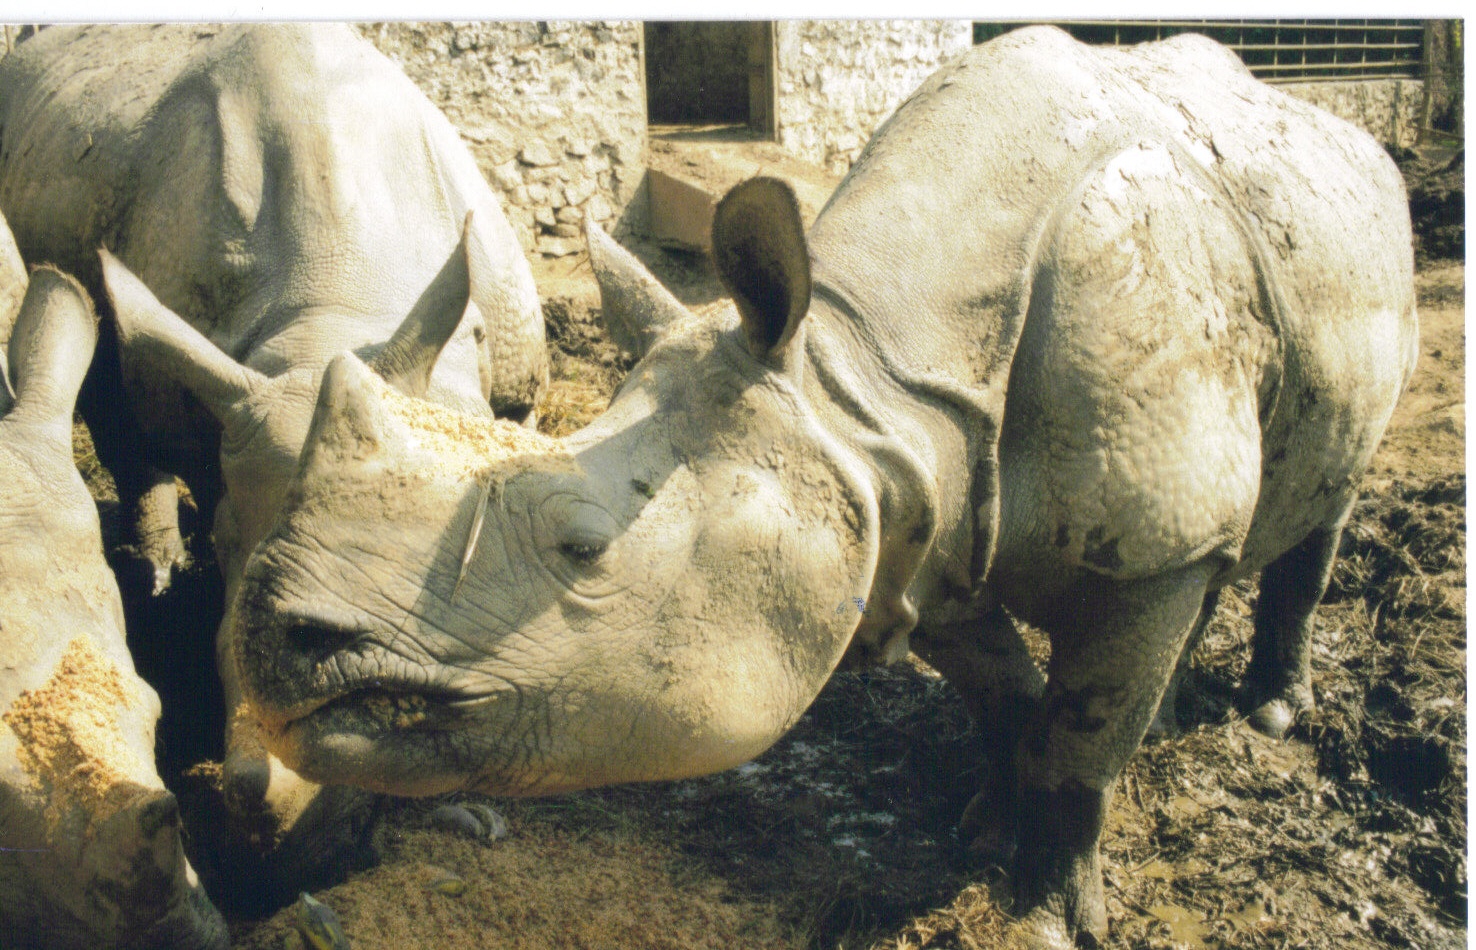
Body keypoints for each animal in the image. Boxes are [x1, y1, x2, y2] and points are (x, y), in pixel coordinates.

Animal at [222, 27, 1416, 946]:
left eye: (584, 547)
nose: (276, 636)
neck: (861, 381)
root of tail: (1352, 137)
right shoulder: (923, 533)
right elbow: (1010, 694)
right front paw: (985, 824)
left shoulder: (1089, 516)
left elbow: (1079, 745)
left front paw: (1048, 912)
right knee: (1220, 538)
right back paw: (1167, 701)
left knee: (1315, 504)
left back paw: (1271, 710)